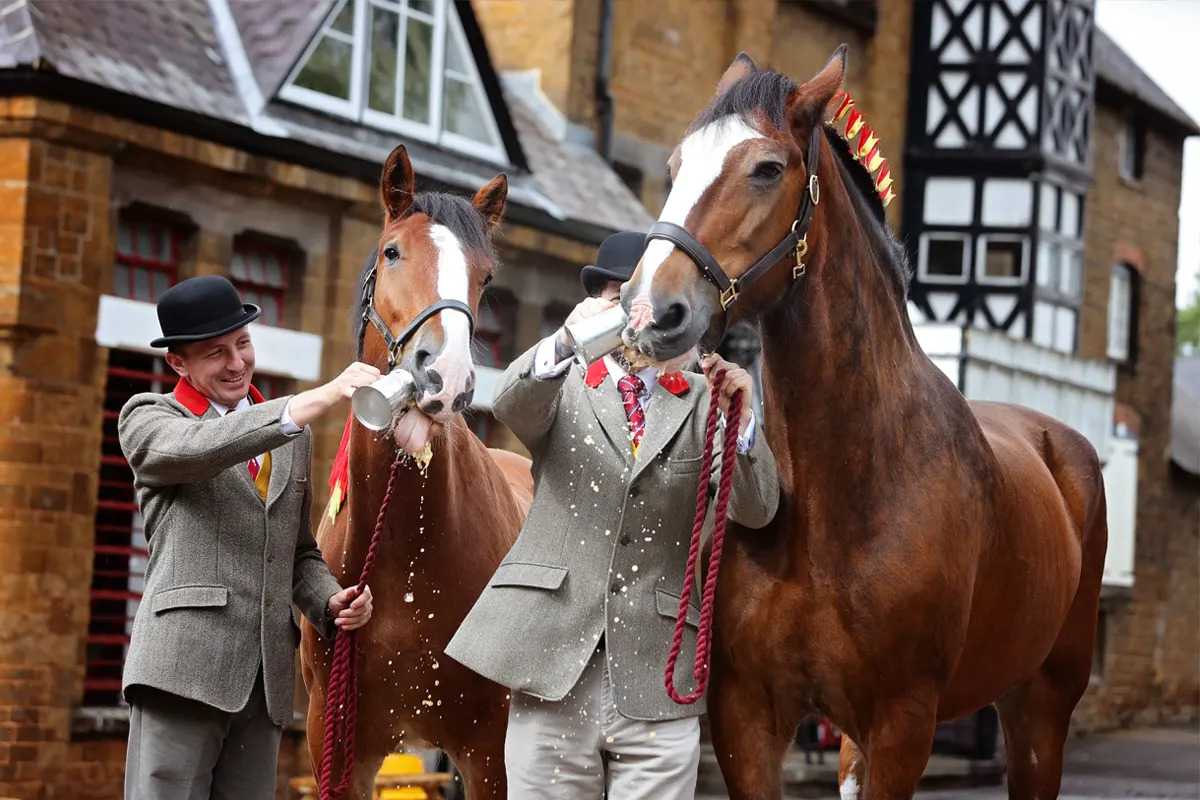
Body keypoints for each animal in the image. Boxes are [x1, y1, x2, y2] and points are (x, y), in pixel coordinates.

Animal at [620, 49, 1107, 800]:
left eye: (767, 168)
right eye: (675, 166)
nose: (651, 309)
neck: (844, 488)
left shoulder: (903, 723)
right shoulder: (745, 717)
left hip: (1041, 709)